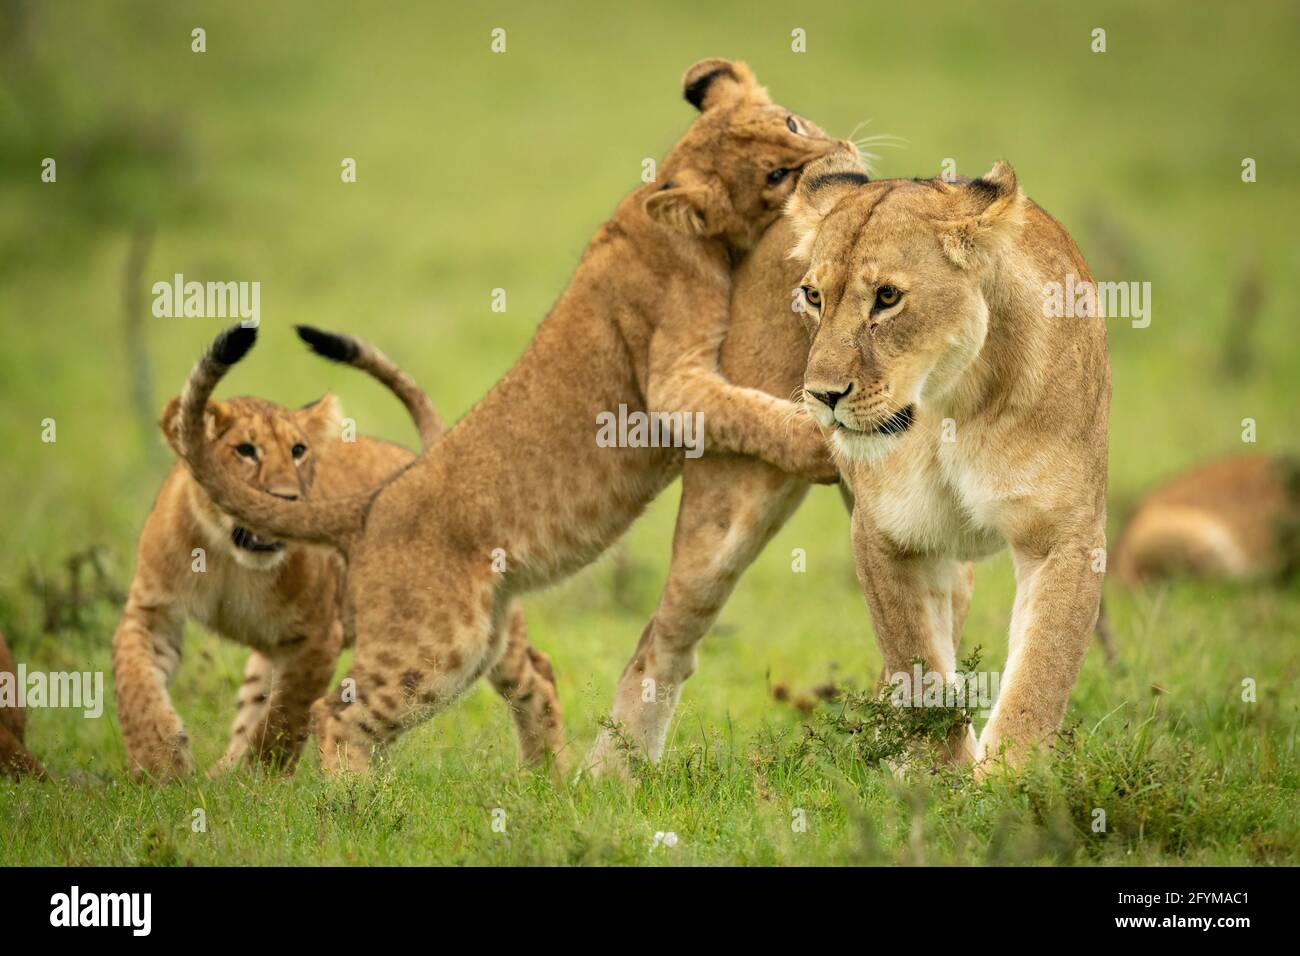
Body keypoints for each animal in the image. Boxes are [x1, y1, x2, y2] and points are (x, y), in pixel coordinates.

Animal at [112, 328, 561, 779]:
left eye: (298, 450)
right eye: (245, 450)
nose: (286, 499)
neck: (227, 557)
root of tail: (426, 458)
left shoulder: (316, 636)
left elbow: (285, 715)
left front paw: (259, 779)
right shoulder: (151, 610)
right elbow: (135, 684)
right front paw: (160, 767)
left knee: (536, 675)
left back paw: (547, 776)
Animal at [174, 59, 852, 773]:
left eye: (792, 123)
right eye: (774, 176)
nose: (838, 157)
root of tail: (369, 507)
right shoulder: (672, 385)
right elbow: (748, 409)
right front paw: (818, 440)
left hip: (487, 634)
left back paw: (542, 783)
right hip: (440, 640)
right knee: (334, 713)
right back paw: (361, 798)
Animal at [785, 153, 1110, 773]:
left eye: (887, 296)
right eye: (813, 296)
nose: (822, 395)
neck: (953, 403)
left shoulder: (1066, 534)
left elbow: (1041, 671)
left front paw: (1008, 779)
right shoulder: (887, 534)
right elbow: (919, 668)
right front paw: (942, 777)